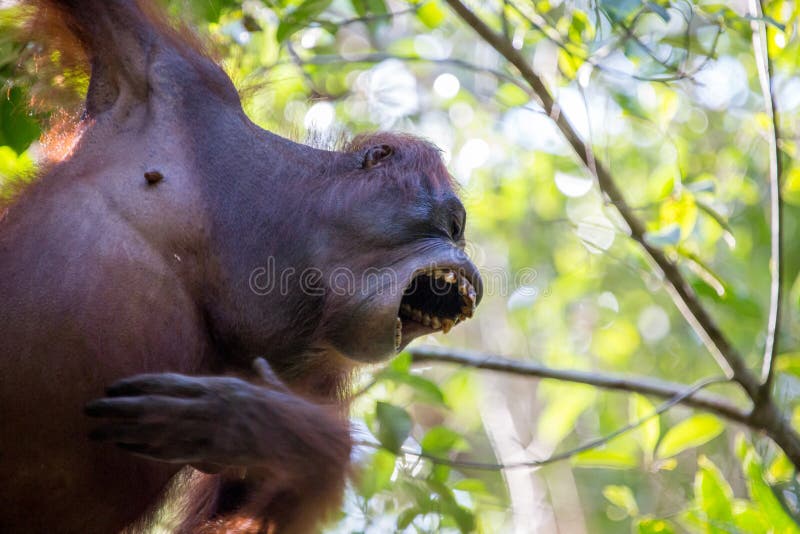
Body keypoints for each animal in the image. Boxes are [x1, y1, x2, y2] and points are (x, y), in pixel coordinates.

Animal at [0, 1, 482, 532]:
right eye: (453, 224)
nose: (469, 263)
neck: (291, 234)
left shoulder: (318, 370)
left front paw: (255, 424)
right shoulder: (170, 72)